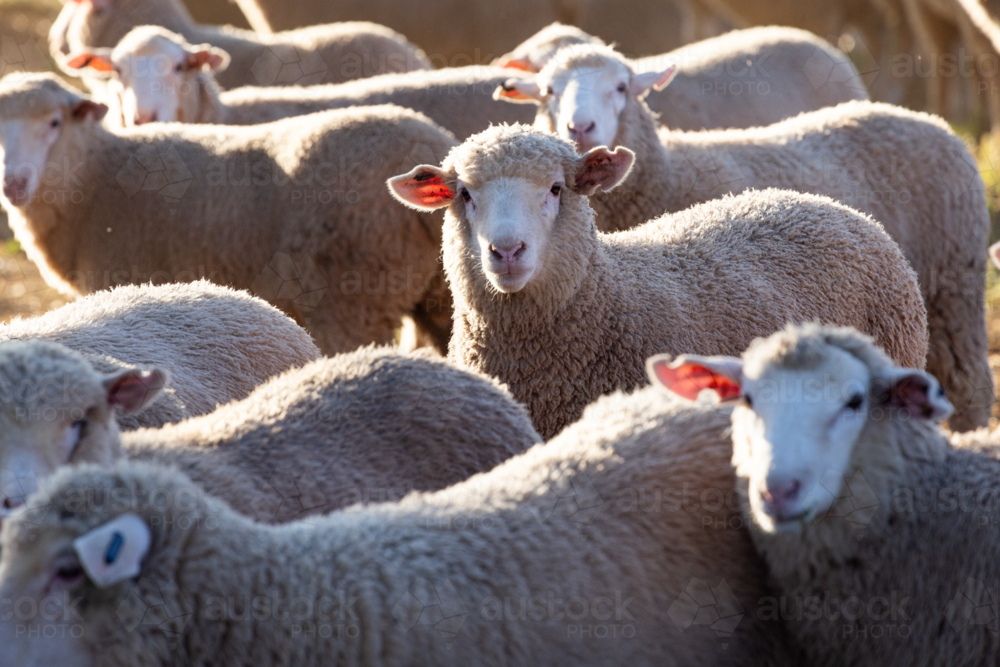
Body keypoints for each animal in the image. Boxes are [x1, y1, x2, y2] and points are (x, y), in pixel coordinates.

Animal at [0, 73, 457, 355]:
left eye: (54, 123)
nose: (13, 184)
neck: (94, 175)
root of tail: (428, 144)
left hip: (351, 297)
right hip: (438, 294)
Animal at [498, 44, 992, 432]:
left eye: (622, 87)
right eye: (549, 90)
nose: (580, 129)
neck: (667, 169)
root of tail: (930, 119)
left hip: (954, 289)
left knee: (971, 386)